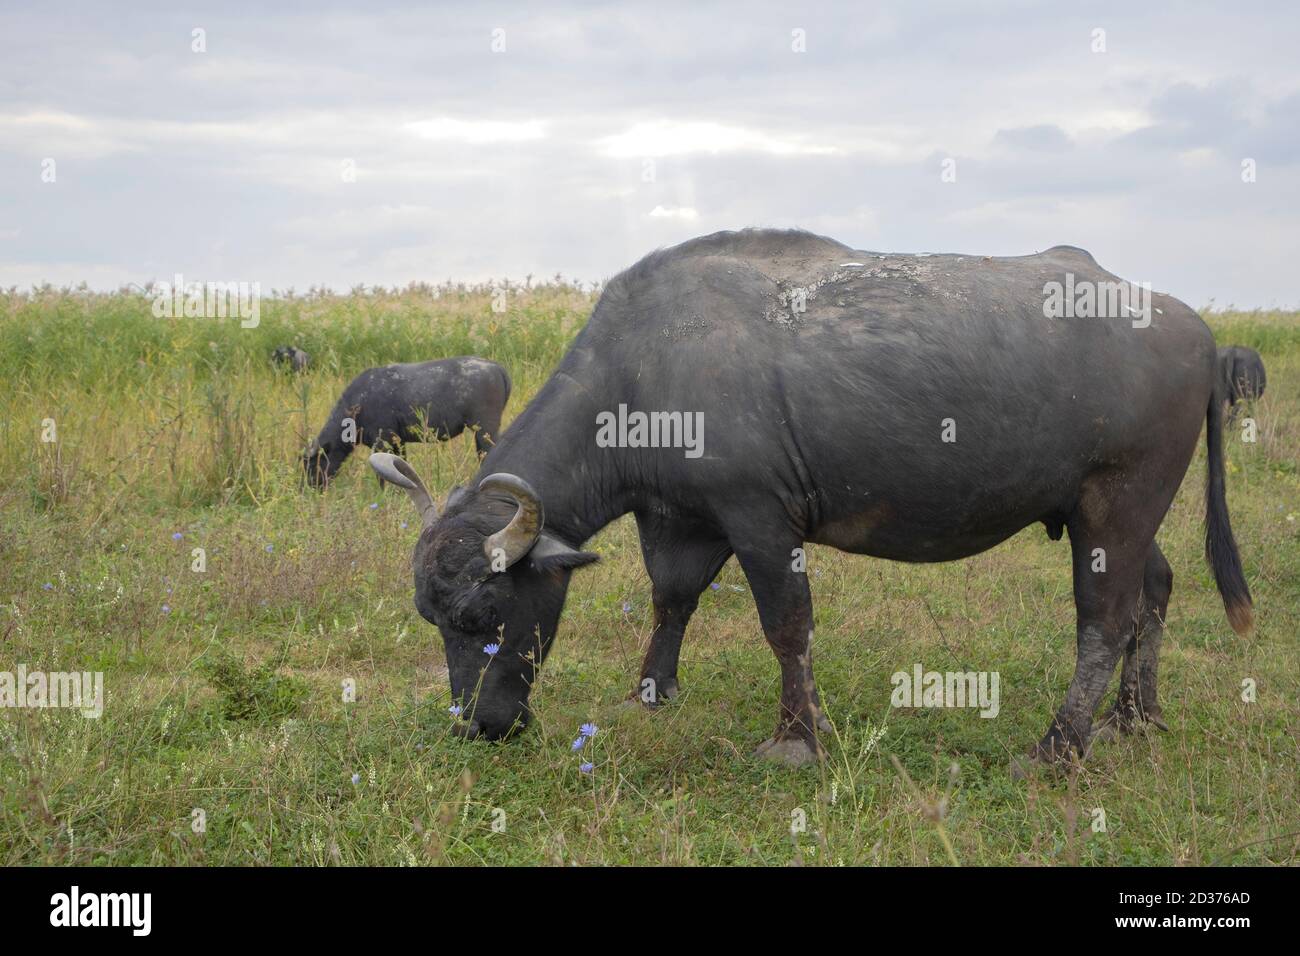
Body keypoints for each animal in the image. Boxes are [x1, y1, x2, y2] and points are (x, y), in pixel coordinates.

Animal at [305, 357, 510, 487]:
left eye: (312, 463)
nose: (309, 486)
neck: (357, 405)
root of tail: (497, 367)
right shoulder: (399, 443)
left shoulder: (383, 443)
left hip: (484, 430)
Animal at [371, 229, 1252, 768]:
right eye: (432, 619)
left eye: (487, 615)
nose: (480, 726)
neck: (642, 374)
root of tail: (1198, 331)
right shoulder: (677, 519)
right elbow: (671, 601)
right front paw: (652, 693)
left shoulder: (760, 518)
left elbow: (786, 626)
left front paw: (798, 736)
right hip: (1107, 510)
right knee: (1156, 589)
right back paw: (1134, 716)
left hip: (1118, 503)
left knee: (1103, 619)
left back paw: (1059, 747)